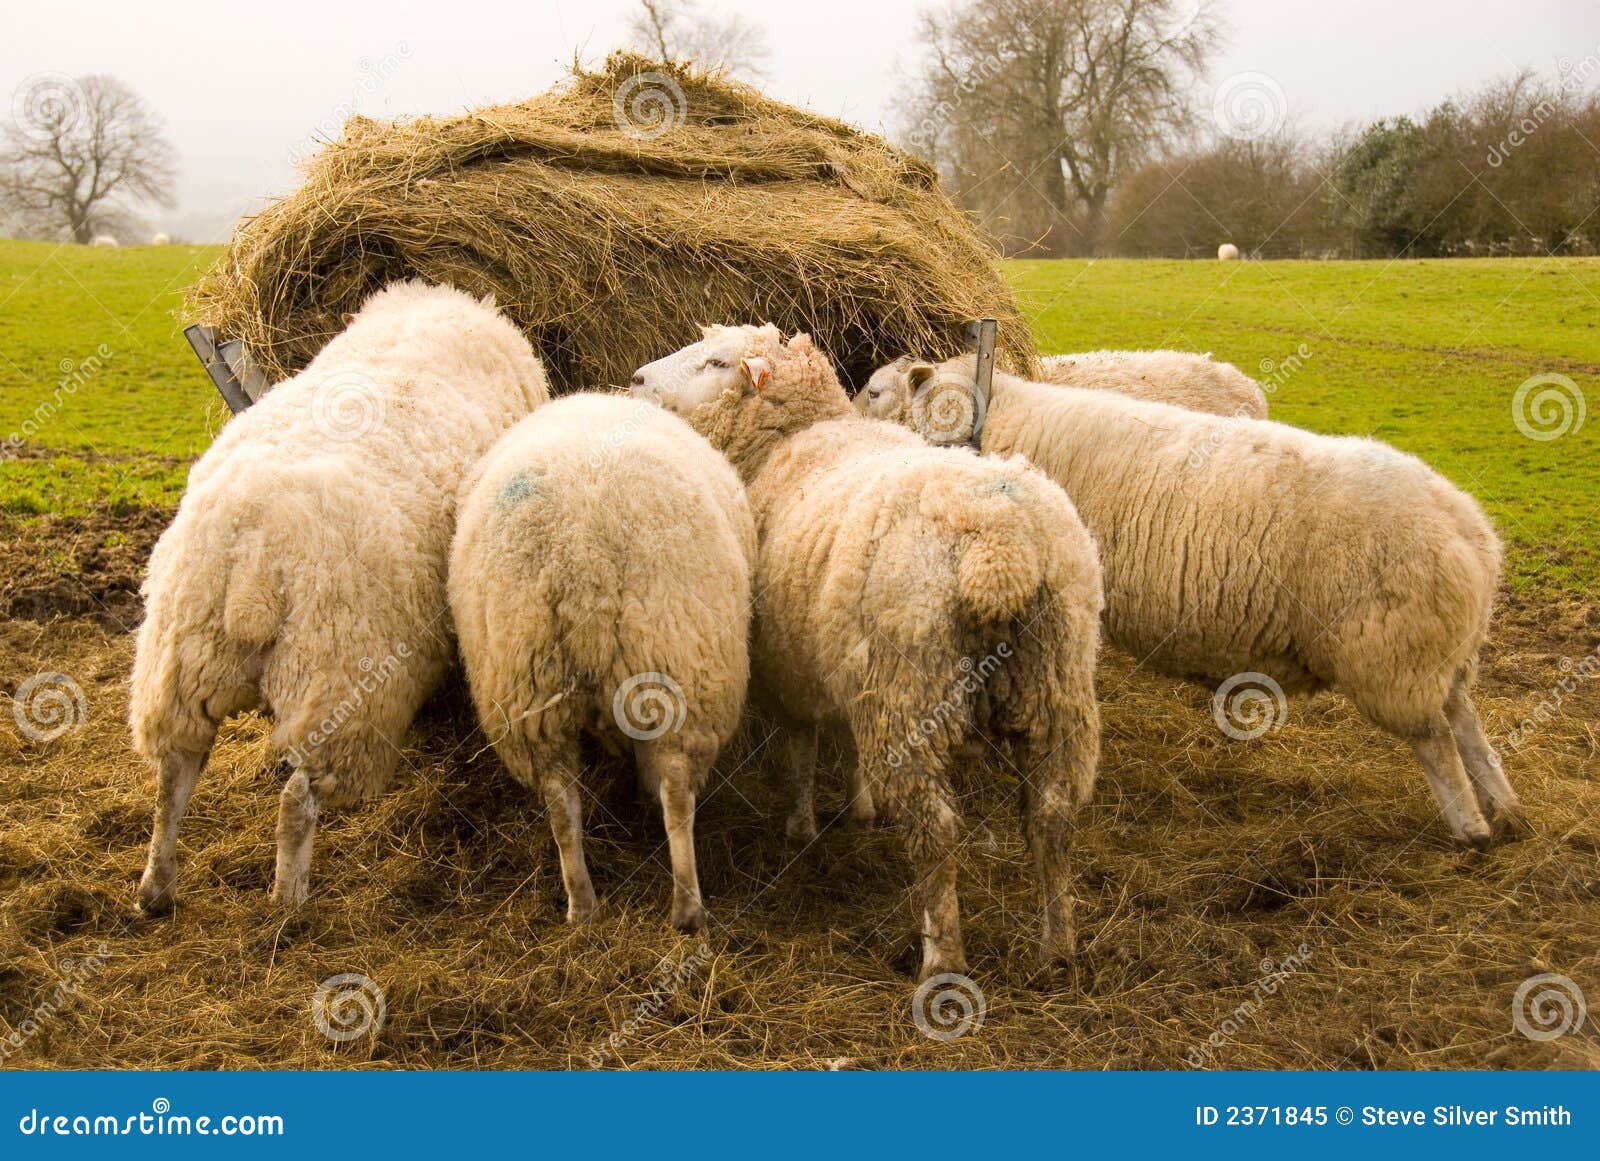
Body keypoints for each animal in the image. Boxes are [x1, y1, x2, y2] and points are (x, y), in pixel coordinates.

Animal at [130, 281, 549, 913]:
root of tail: (250, 551)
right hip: (338, 680)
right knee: (297, 797)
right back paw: (289, 899)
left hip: (179, 664)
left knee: (171, 778)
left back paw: (157, 886)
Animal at [448, 393, 755, 934]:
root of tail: (582, 557)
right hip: (674, 663)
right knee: (673, 792)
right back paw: (683, 909)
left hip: (534, 689)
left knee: (561, 804)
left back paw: (584, 904)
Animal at [631, 325, 1103, 979]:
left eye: (718, 361)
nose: (636, 380)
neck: (793, 440)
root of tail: (998, 548)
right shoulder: (852, 664)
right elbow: (849, 743)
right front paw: (862, 805)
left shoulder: (789, 668)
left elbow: (801, 751)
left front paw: (801, 827)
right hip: (1056, 683)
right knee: (1052, 818)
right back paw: (1058, 949)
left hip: (915, 691)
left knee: (935, 831)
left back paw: (941, 957)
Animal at [888, 355, 1523, 849]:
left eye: (876, 390)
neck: (1004, 416)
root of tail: (1472, 533)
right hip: (1440, 650)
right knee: (1465, 721)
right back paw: (1507, 809)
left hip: (1393, 652)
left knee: (1436, 739)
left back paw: (1472, 829)